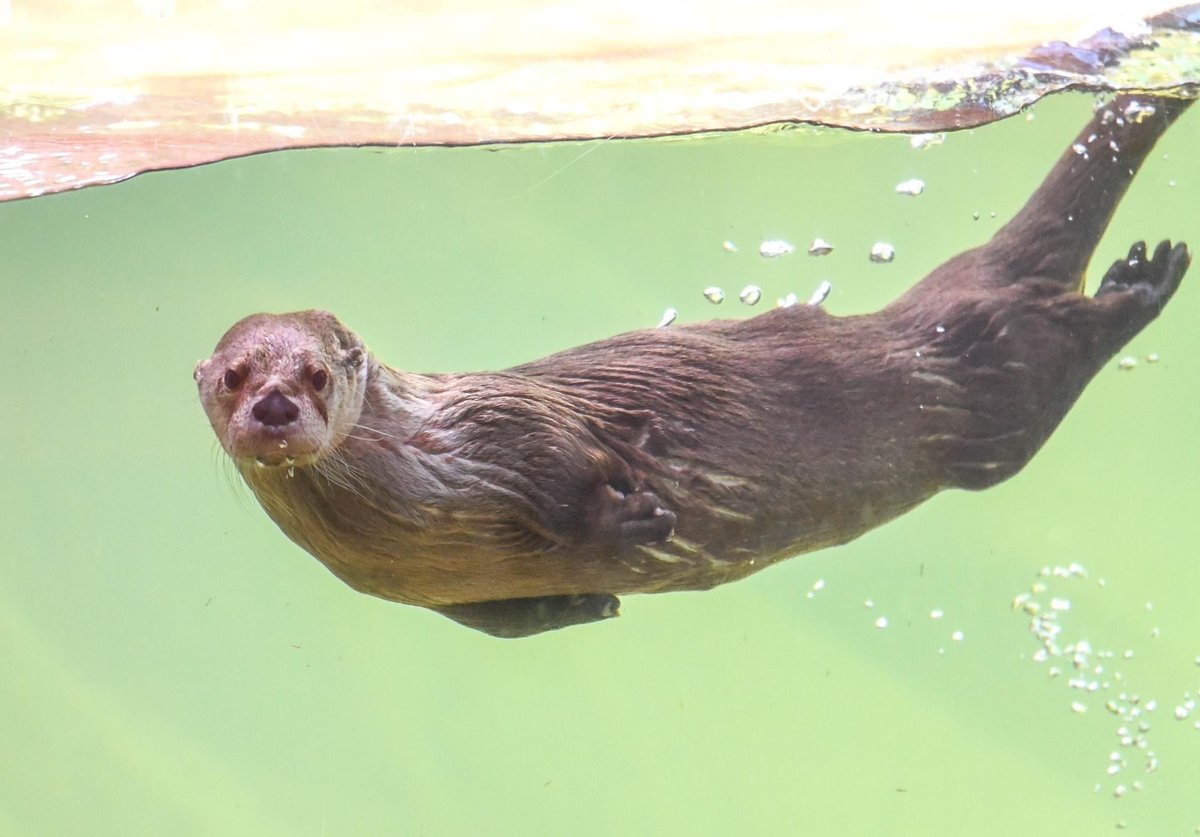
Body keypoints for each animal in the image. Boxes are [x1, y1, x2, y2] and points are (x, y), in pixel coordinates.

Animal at [197, 93, 1193, 638]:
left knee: (1052, 351)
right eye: (238, 375)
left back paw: (1143, 282)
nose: (276, 405)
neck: (423, 492)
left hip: (986, 392)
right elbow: (507, 615)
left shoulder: (513, 425)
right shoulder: (429, 591)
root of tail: (948, 292)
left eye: (318, 373)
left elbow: (577, 465)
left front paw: (630, 518)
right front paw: (589, 601)